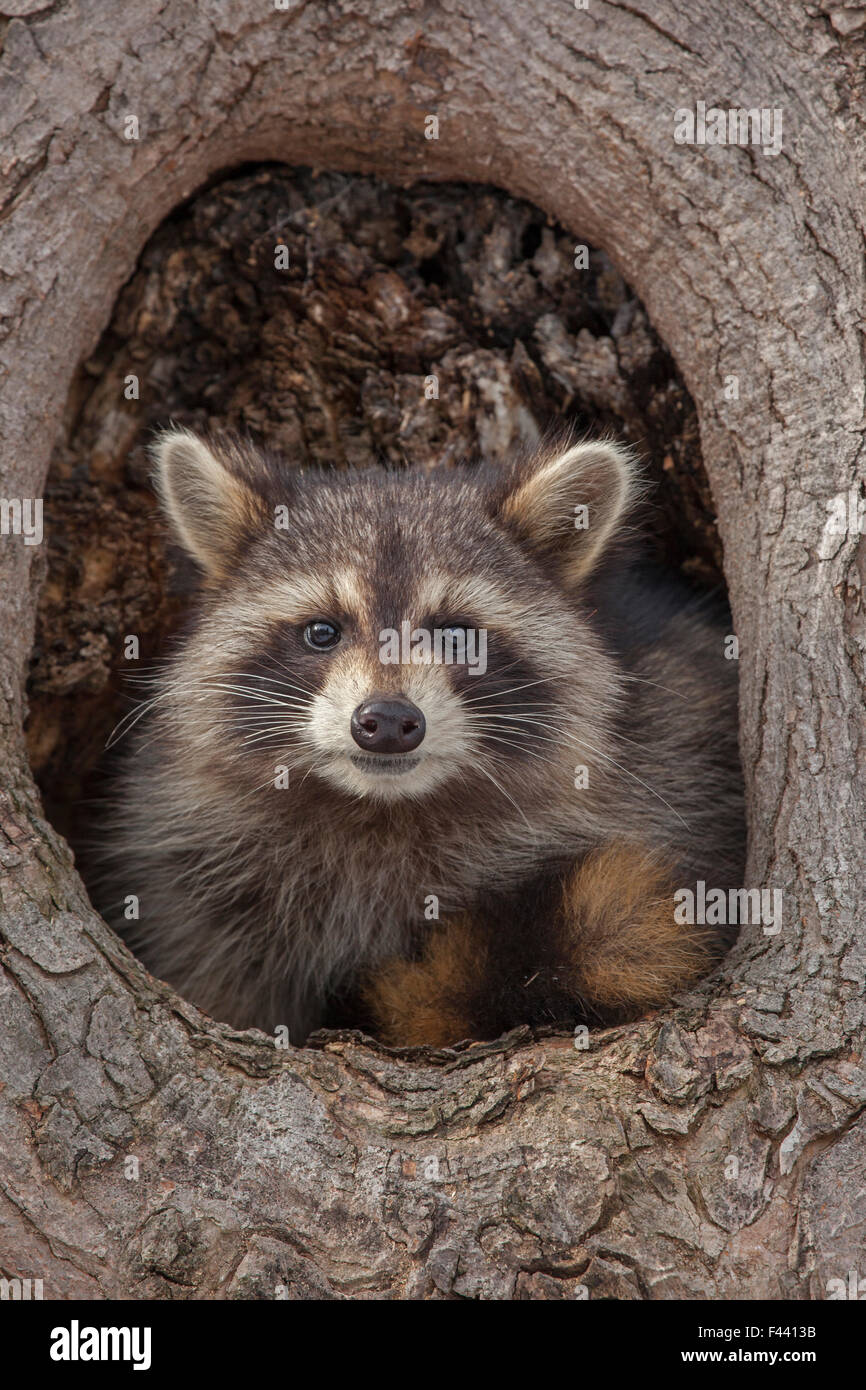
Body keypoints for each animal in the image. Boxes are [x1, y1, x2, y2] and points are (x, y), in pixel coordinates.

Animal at [97, 430, 744, 1047]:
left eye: (457, 636)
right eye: (322, 632)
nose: (386, 720)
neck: (382, 807)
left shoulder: (678, 764)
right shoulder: (198, 863)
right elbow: (217, 972)